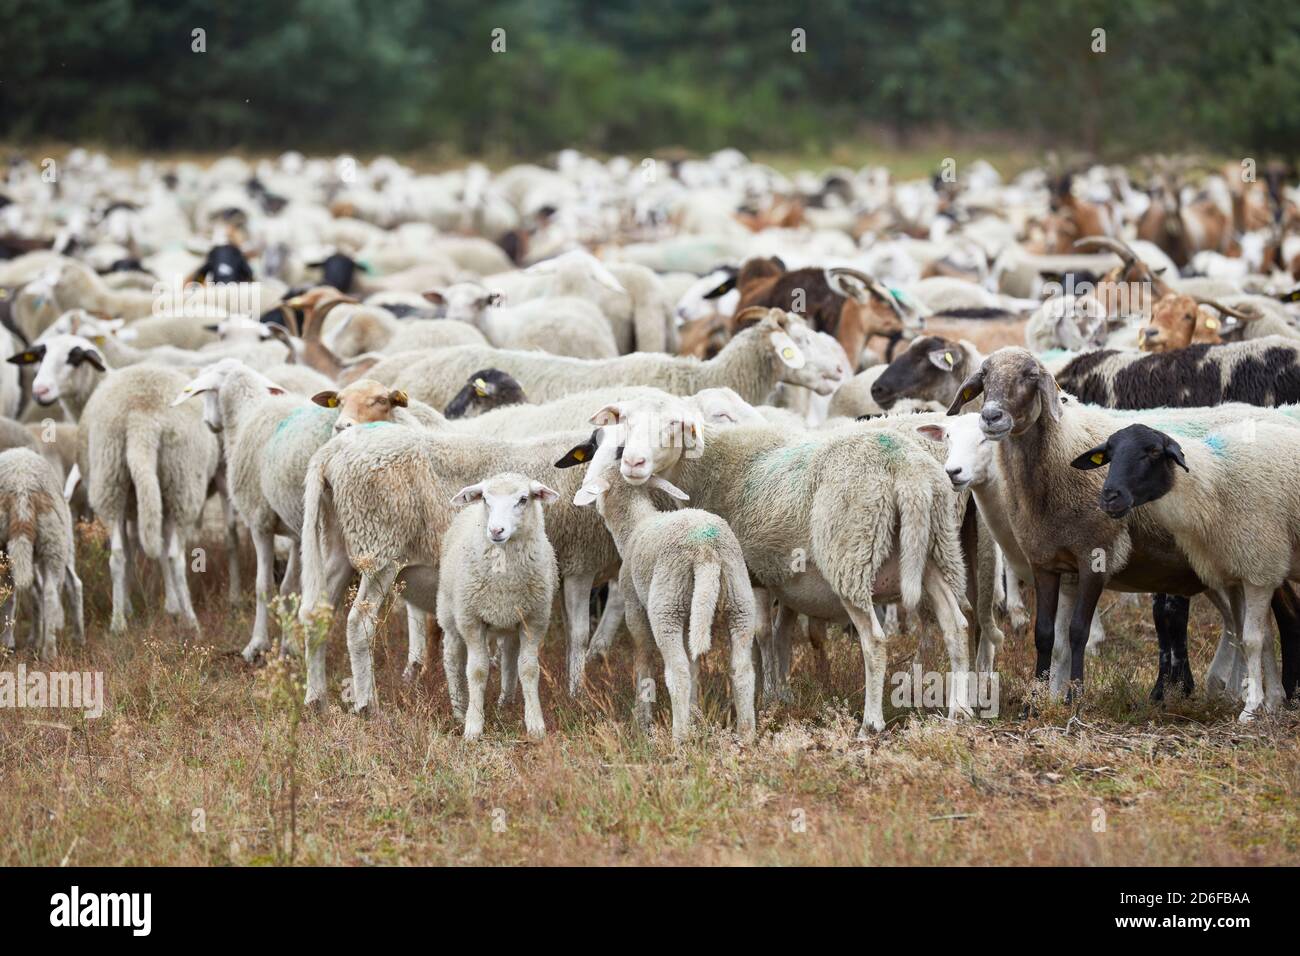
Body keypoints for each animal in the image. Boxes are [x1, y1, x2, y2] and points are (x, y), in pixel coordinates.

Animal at [437, 473, 559, 740]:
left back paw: (506, 701)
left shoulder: (534, 620)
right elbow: (477, 671)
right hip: (450, 613)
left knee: (509, 657)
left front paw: (535, 724)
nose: (495, 530)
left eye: (523, 499)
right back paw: (458, 708)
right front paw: (473, 726)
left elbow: (528, 670)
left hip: (510, 621)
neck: (505, 579)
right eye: (485, 498)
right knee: (452, 657)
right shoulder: (472, 620)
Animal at [570, 440, 756, 742]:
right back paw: (746, 734)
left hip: (666, 606)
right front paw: (696, 714)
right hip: (738, 599)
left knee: (677, 671)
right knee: (742, 670)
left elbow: (644, 658)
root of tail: (706, 550)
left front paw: (642, 720)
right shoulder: (692, 616)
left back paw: (679, 738)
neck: (634, 525)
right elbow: (694, 666)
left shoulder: (634, 606)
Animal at [1070, 421, 1300, 719]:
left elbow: (1251, 639)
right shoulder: (1237, 572)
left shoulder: (1260, 567)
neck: (1215, 481)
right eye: (1109, 453)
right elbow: (1258, 637)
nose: (1110, 497)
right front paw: (1271, 702)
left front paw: (1251, 709)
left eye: (1154, 451)